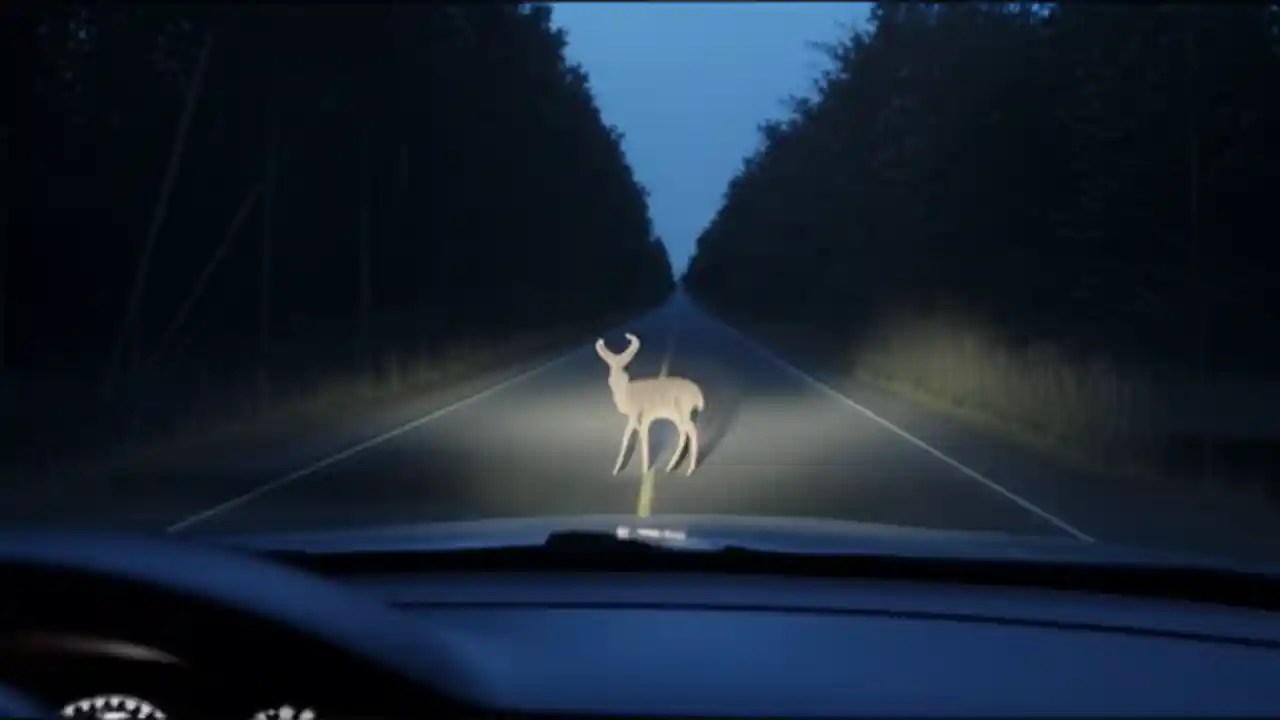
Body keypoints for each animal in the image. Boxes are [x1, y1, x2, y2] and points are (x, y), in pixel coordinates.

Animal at [596, 332, 705, 477]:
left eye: (625, 371)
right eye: (610, 373)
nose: (616, 381)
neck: (627, 392)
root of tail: (698, 395)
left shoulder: (638, 415)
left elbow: (636, 436)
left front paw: (644, 470)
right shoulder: (637, 418)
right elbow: (629, 436)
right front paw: (616, 470)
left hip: (683, 412)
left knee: (691, 431)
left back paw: (689, 470)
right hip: (679, 416)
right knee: (684, 432)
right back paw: (670, 467)